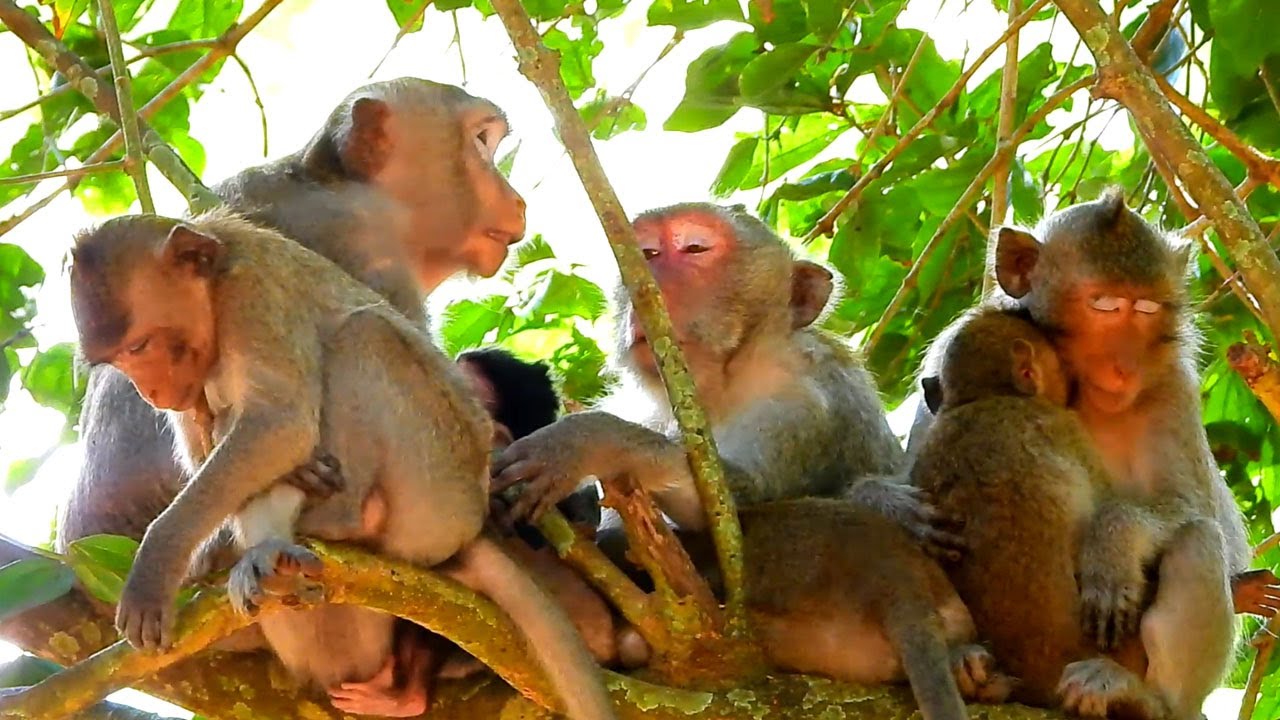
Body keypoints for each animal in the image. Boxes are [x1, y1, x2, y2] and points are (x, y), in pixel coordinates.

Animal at [67, 212, 614, 720]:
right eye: (118, 359)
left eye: (139, 346)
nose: (149, 390)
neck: (216, 288)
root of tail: (470, 529)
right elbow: (222, 442)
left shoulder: (252, 296)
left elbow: (280, 423)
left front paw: (155, 565)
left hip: (440, 485)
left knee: (363, 335)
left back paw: (341, 520)